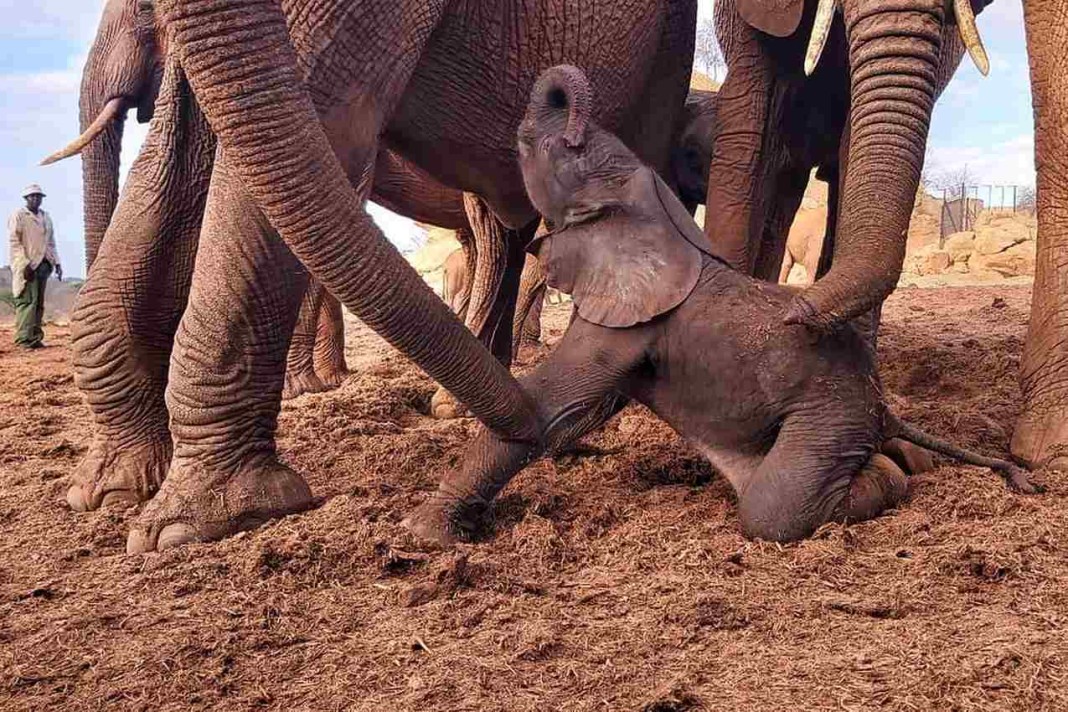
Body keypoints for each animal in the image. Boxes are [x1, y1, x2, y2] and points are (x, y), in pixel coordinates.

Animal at [57, 0, 698, 553]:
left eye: (143, 18)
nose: (543, 431)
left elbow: (325, 131)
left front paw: (188, 526)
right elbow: (181, 156)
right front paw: (109, 491)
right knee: (499, 229)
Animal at [405, 65, 1037, 546]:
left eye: (559, 149)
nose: (563, 100)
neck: (649, 207)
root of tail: (881, 405)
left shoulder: (623, 323)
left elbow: (551, 404)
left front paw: (420, 537)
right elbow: (579, 409)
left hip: (829, 415)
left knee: (773, 507)